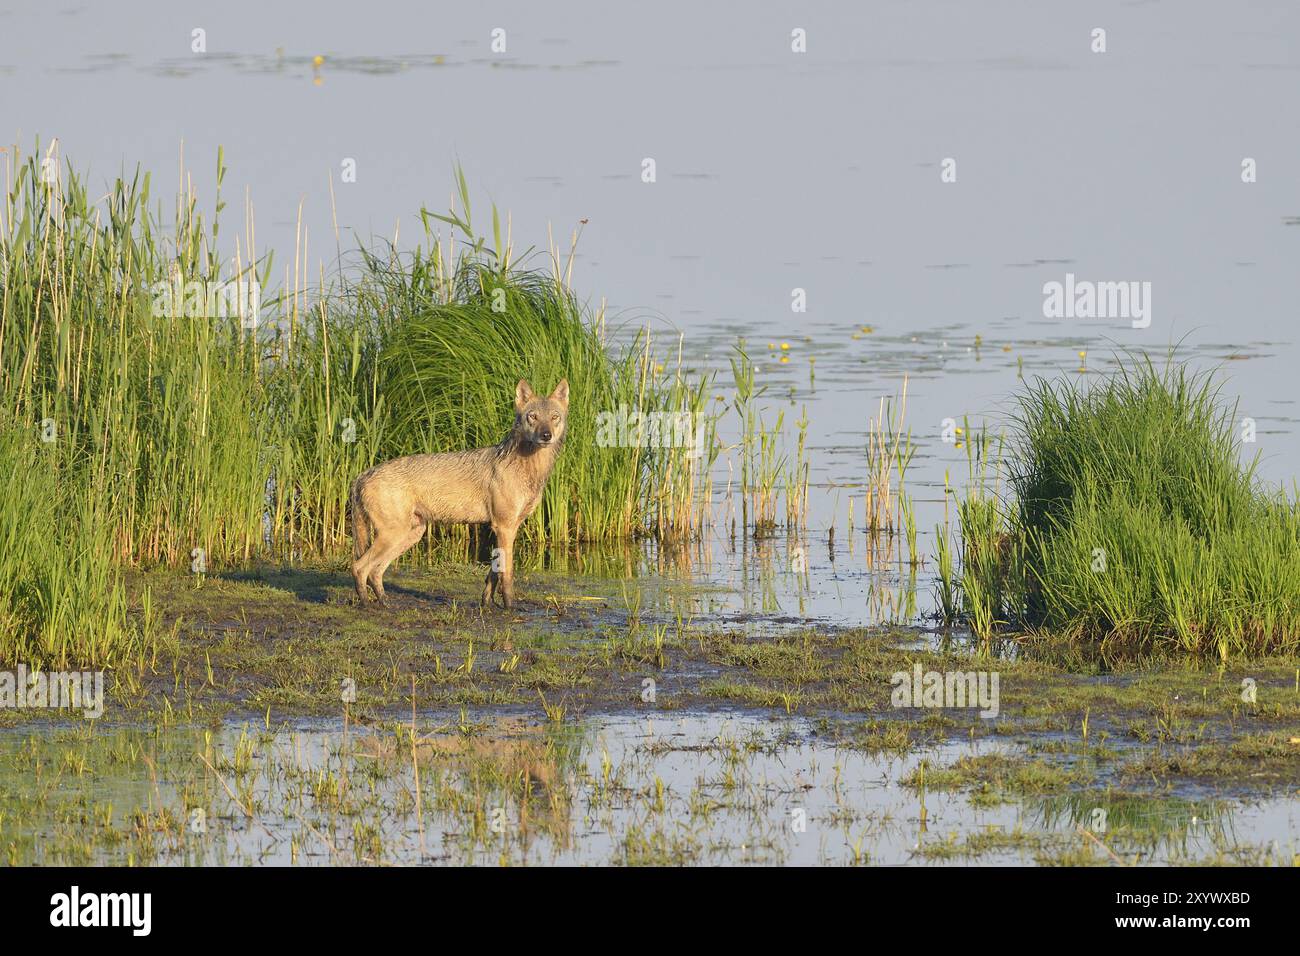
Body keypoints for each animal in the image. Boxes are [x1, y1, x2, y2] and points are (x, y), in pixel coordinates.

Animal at [349, 379, 569, 609]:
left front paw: (486, 602)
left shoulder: (508, 527)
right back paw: (366, 603)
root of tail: (361, 475)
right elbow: (506, 574)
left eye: (554, 417)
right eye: (533, 416)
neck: (528, 467)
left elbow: (493, 573)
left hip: (411, 534)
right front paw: (510, 606)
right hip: (395, 535)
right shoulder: (504, 527)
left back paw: (385, 602)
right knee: (359, 567)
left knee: (375, 571)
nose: (546, 435)